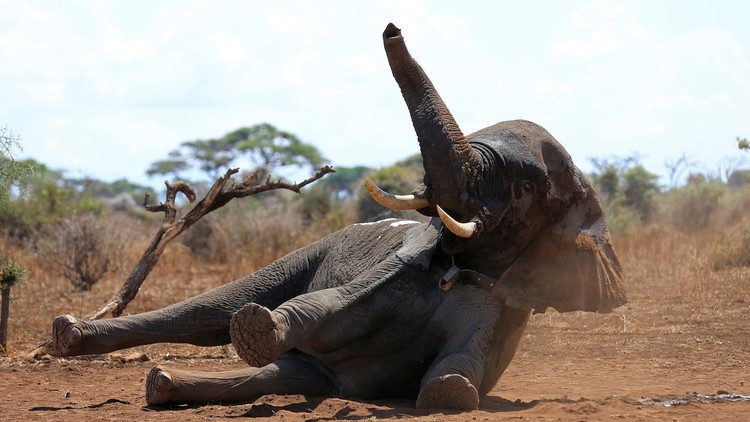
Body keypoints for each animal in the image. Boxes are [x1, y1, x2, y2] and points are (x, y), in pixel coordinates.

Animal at [49, 23, 625, 411]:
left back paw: (163, 384)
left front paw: (448, 388)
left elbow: (455, 381)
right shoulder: (402, 261)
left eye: (525, 187)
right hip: (313, 249)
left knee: (275, 376)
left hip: (312, 374)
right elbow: (325, 304)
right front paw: (258, 326)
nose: (392, 27)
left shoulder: (502, 302)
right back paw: (69, 334)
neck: (461, 264)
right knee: (209, 313)